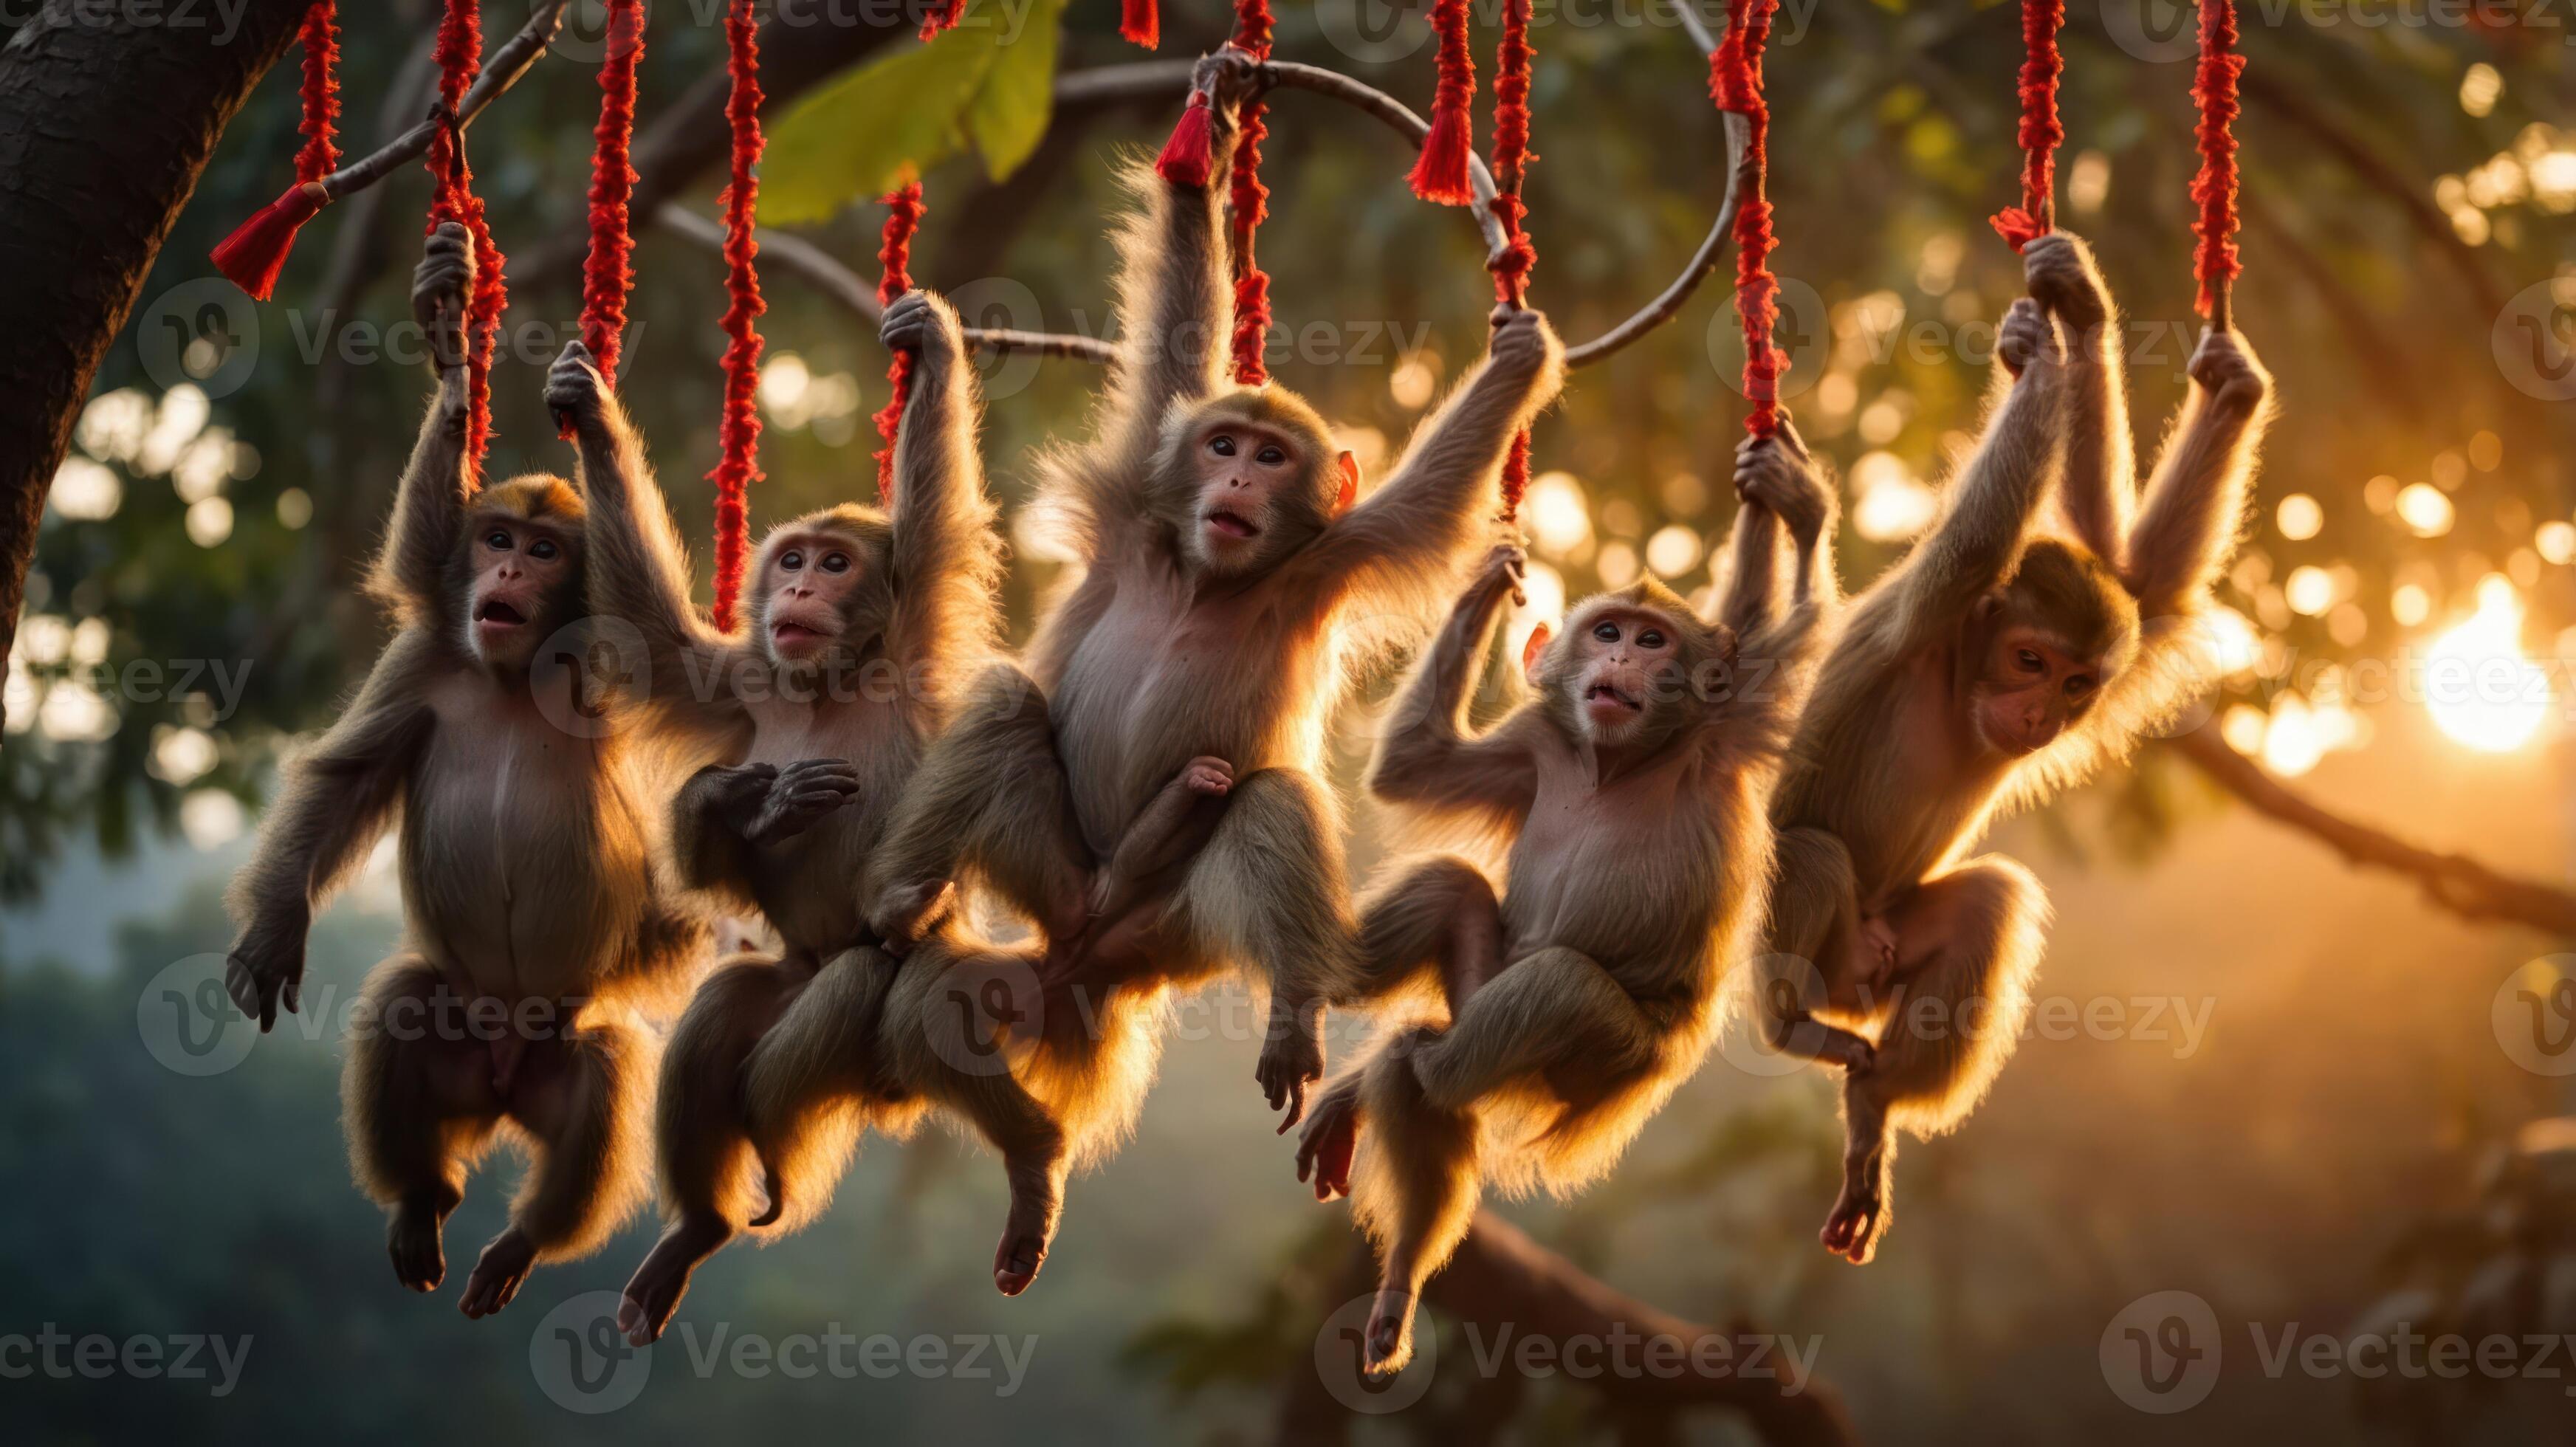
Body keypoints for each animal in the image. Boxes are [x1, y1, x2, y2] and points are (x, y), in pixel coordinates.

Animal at [221, 223, 709, 1319]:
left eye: (542, 549)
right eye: (494, 539)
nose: (509, 573)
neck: (510, 675)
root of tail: (495, 1092)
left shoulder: (602, 660)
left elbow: (662, 638)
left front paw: (592, 415)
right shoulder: (427, 662)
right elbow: (344, 778)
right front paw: (450, 354)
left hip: (559, 1044)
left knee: (601, 1068)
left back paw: (525, 1241)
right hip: (451, 1038)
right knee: (405, 1003)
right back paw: (420, 1201)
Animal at [862, 47, 1567, 1129]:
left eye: (1272, 458)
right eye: (1224, 445)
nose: (1236, 484)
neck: (1205, 580)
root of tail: (1085, 946)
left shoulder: (1331, 560)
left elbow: (1433, 496)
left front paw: (1519, 363)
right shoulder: (1138, 510)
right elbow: (1175, 339)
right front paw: (1211, 138)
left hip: (1178, 930)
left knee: (1266, 800)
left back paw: (1292, 1012)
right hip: (1051, 874)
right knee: (1006, 704)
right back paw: (906, 902)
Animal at [1287, 428, 1841, 1377]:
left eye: (1653, 640)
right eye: (1608, 631)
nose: (1619, 660)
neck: (1617, 760)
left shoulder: (1733, 725)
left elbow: (1799, 632)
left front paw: (1798, 505)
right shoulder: (1537, 745)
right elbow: (1413, 769)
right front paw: (1485, 583)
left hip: (1602, 1063)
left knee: (1546, 996)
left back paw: (1398, 1080)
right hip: (1485, 991)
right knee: (1454, 895)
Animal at [1755, 233, 2272, 1266]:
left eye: (2076, 683)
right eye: (2029, 660)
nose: (2040, 717)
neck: (1958, 678)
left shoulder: (2122, 638)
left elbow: (2149, 583)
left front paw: (2084, 316)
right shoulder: (1934, 603)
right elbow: (1983, 531)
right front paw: (2035, 357)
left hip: (1881, 956)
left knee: (1986, 904)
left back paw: (1875, 1102)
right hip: (1810, 954)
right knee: (1809, 852)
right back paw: (1791, 1032)